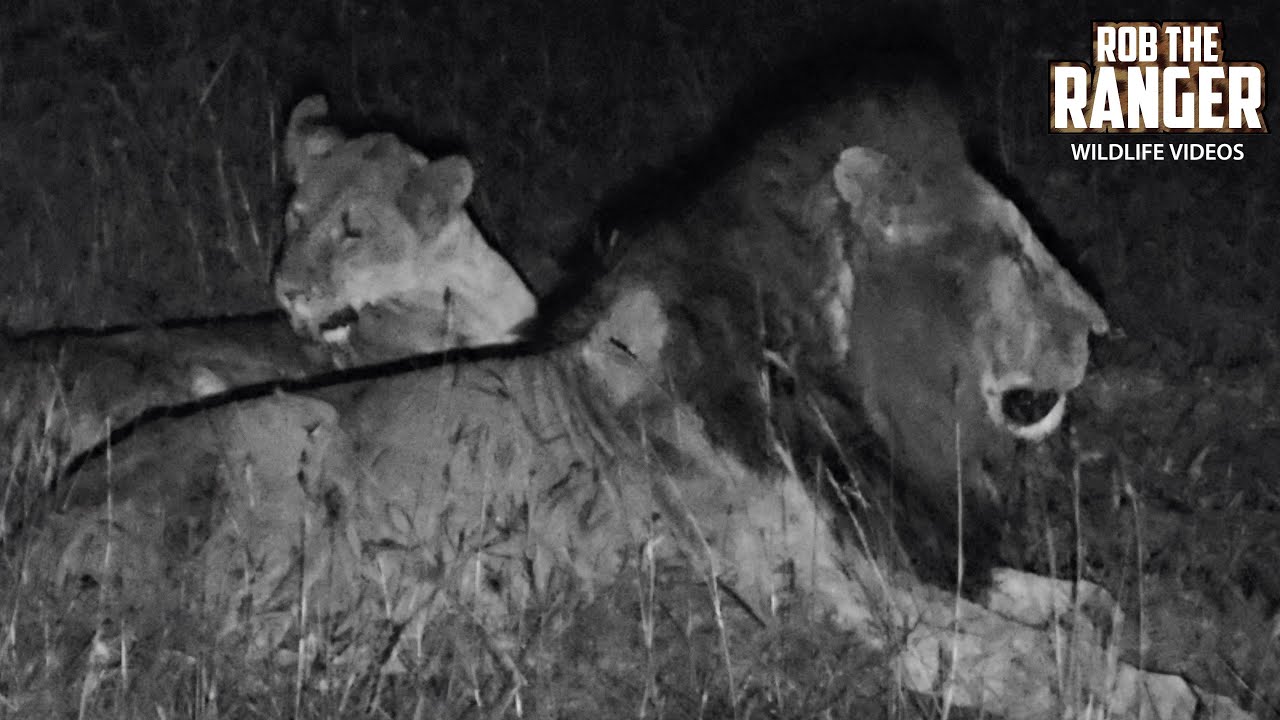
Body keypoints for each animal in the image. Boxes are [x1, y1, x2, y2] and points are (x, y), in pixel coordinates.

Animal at [12, 66, 1250, 718]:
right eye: (1009, 250)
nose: (1100, 327)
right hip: (286, 437)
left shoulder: (874, 558)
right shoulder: (828, 610)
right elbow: (1026, 658)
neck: (821, 381)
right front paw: (1178, 694)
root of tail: (32, 533)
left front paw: (1096, 624)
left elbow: (1062, 603)